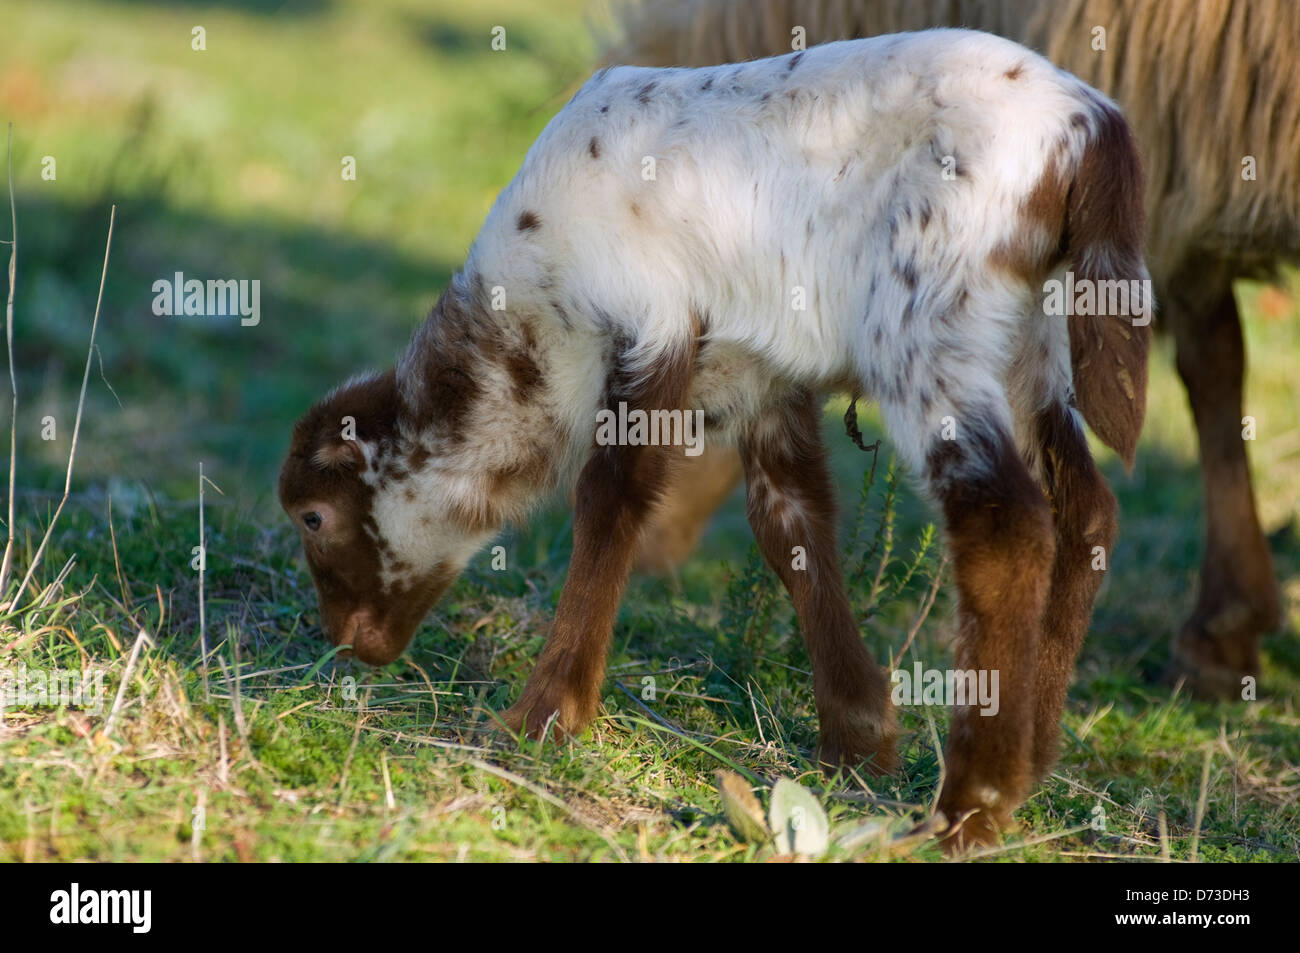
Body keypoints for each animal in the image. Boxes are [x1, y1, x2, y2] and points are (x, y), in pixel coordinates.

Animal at [279, 29, 1150, 848]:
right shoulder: (757, 376)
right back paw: (1034, 758)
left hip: (928, 323)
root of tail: (1087, 125)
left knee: (1004, 523)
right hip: (1034, 341)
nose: (345, 642)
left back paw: (971, 807)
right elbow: (791, 522)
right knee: (1086, 513)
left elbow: (611, 502)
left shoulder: (652, 318)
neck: (529, 345)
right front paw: (857, 739)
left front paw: (544, 717)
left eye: (314, 516)